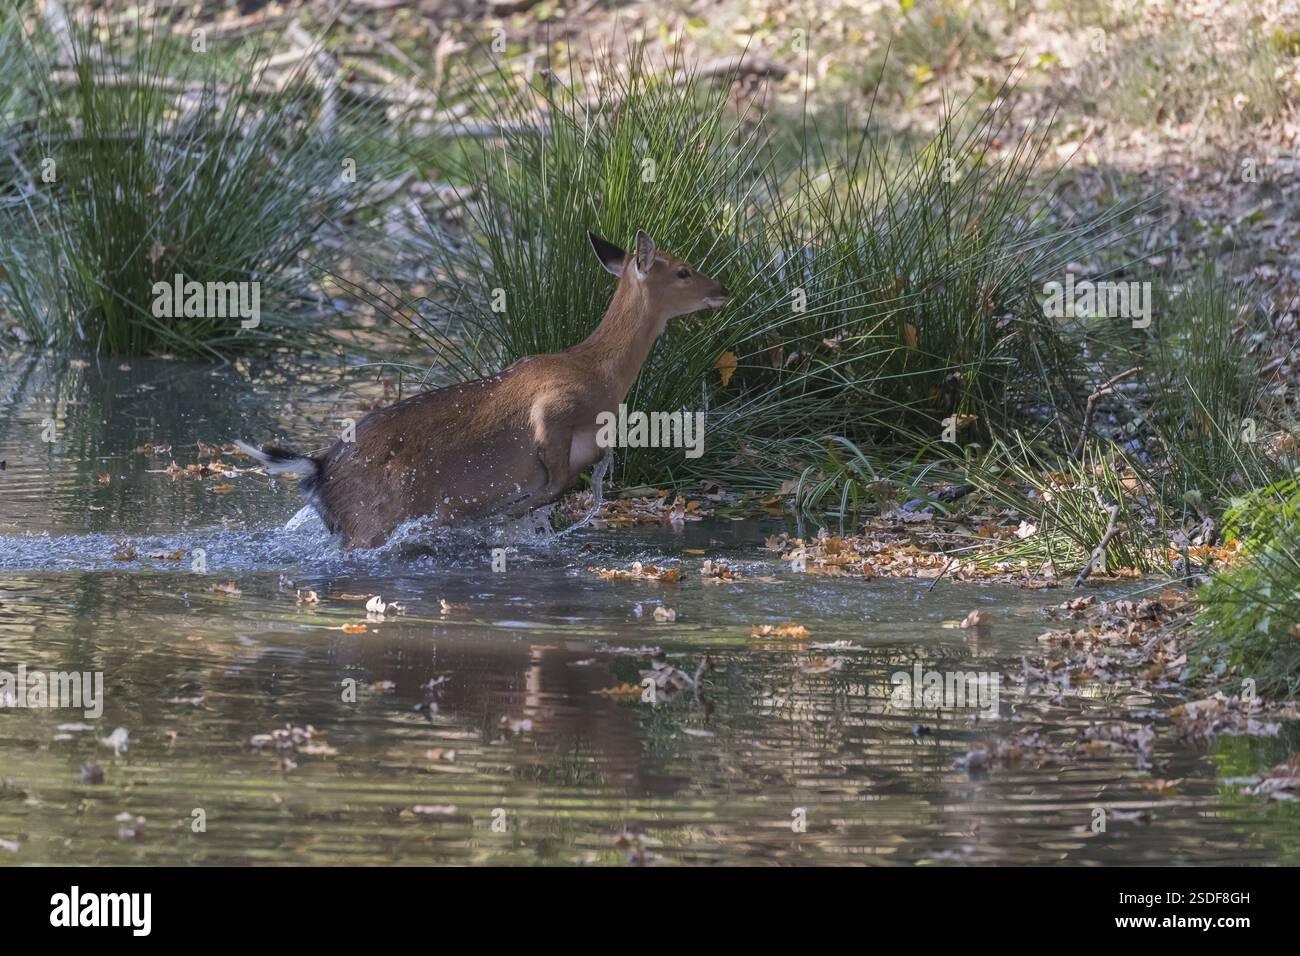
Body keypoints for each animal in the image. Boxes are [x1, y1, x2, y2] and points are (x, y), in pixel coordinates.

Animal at [238, 229, 729, 549]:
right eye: (683, 271)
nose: (722, 289)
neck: (601, 374)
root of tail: (317, 467)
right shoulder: (553, 409)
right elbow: (552, 485)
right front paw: (492, 517)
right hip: (369, 520)